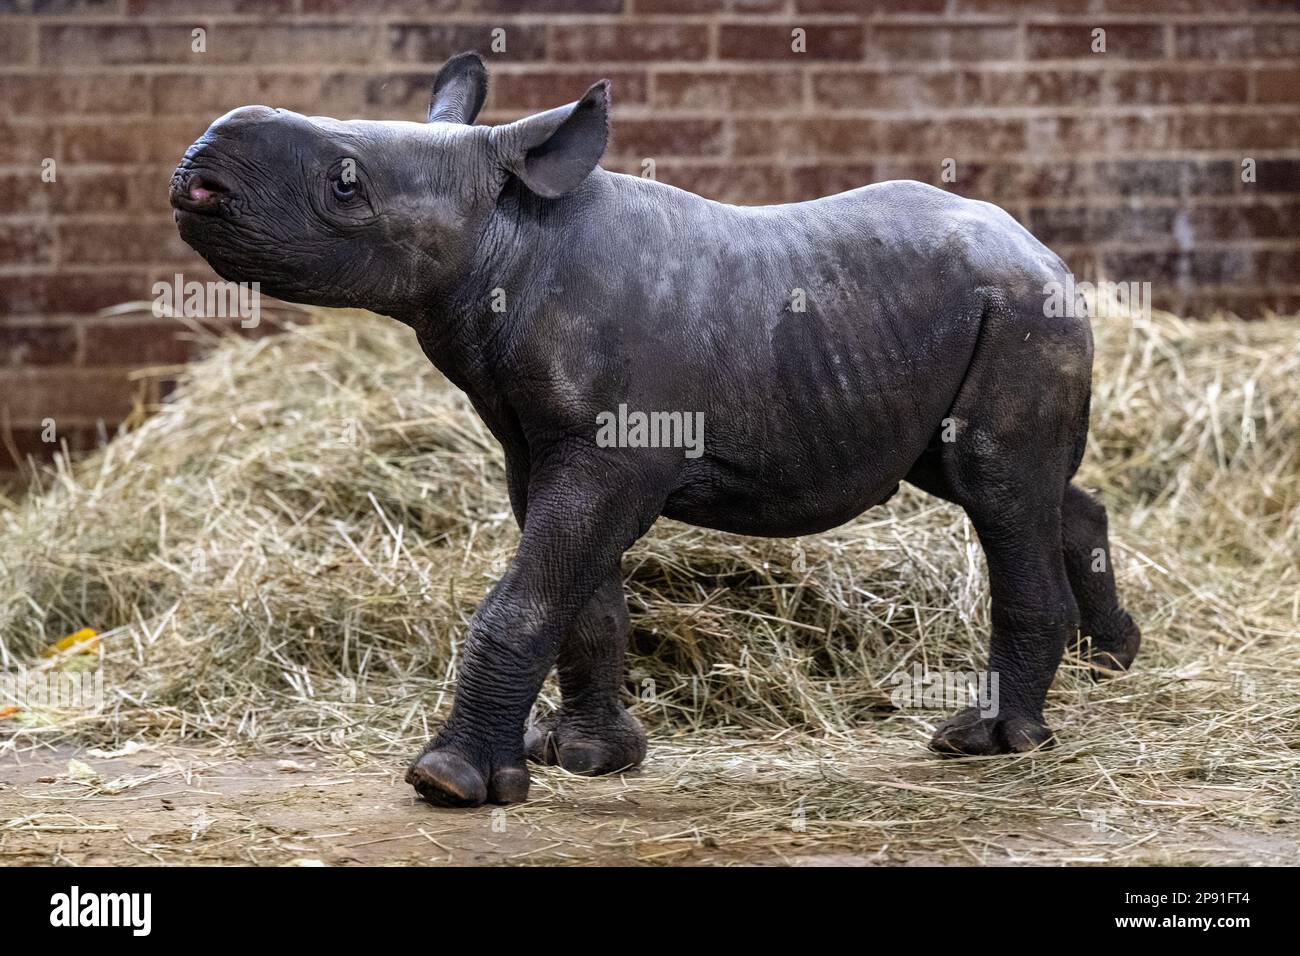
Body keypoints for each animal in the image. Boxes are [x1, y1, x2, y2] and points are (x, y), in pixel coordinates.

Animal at [170, 52, 1140, 807]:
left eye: (345, 183)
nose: (198, 169)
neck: (509, 232)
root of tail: (1046, 252)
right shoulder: (541, 445)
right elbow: (582, 597)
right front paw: (588, 759)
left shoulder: (611, 452)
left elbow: (528, 596)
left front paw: (448, 783)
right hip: (959, 318)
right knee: (1007, 484)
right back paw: (1111, 661)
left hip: (1018, 311)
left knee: (996, 487)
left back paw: (988, 741)